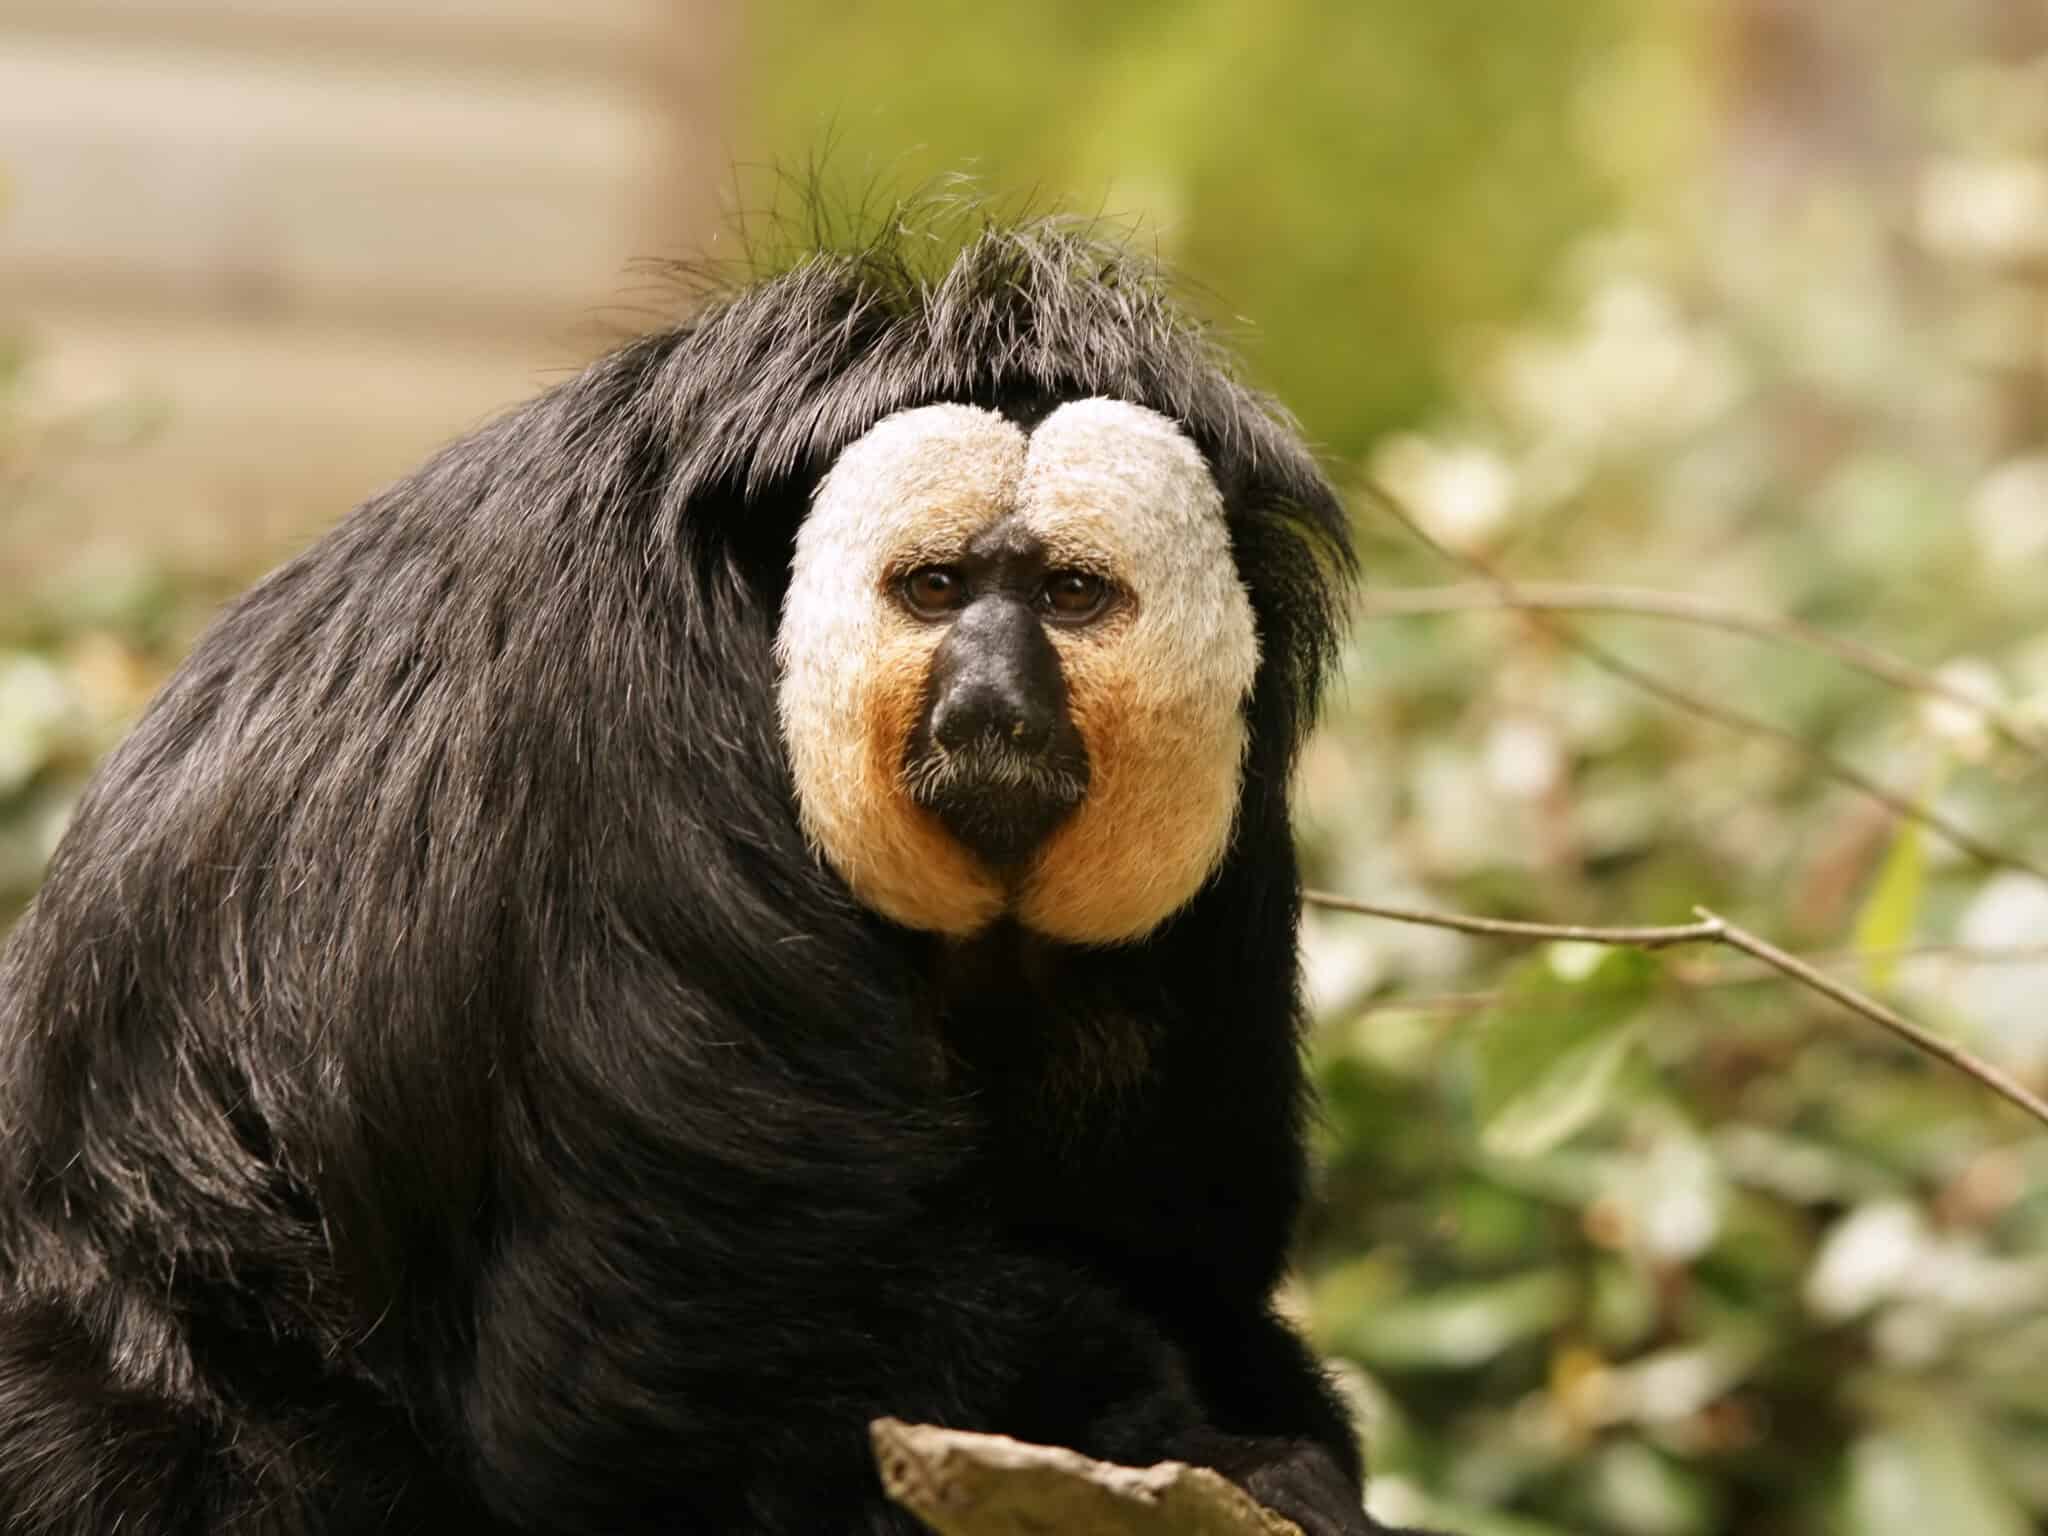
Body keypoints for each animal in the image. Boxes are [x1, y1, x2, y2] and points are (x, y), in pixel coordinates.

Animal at [0, 213, 1439, 1536]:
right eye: (935, 588)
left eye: (1071, 594)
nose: (990, 702)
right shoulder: (632, 744)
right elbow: (656, 1352)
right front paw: (1197, 1444)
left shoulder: (1231, 844)